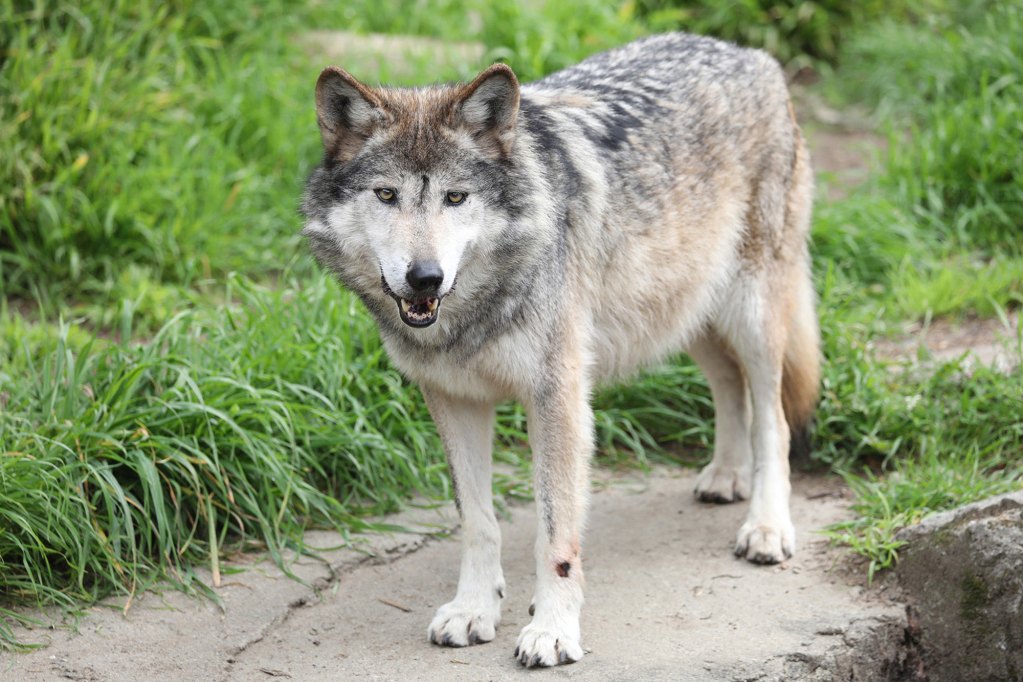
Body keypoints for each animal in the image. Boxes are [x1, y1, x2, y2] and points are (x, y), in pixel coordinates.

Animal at [301, 32, 819, 667]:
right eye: (386, 194)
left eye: (455, 197)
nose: (424, 277)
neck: (478, 309)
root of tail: (751, 54)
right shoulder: (454, 399)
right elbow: (478, 521)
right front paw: (474, 610)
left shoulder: (558, 400)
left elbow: (555, 536)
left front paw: (551, 631)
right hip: (685, 313)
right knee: (730, 386)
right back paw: (725, 476)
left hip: (750, 314)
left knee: (773, 417)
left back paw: (767, 527)